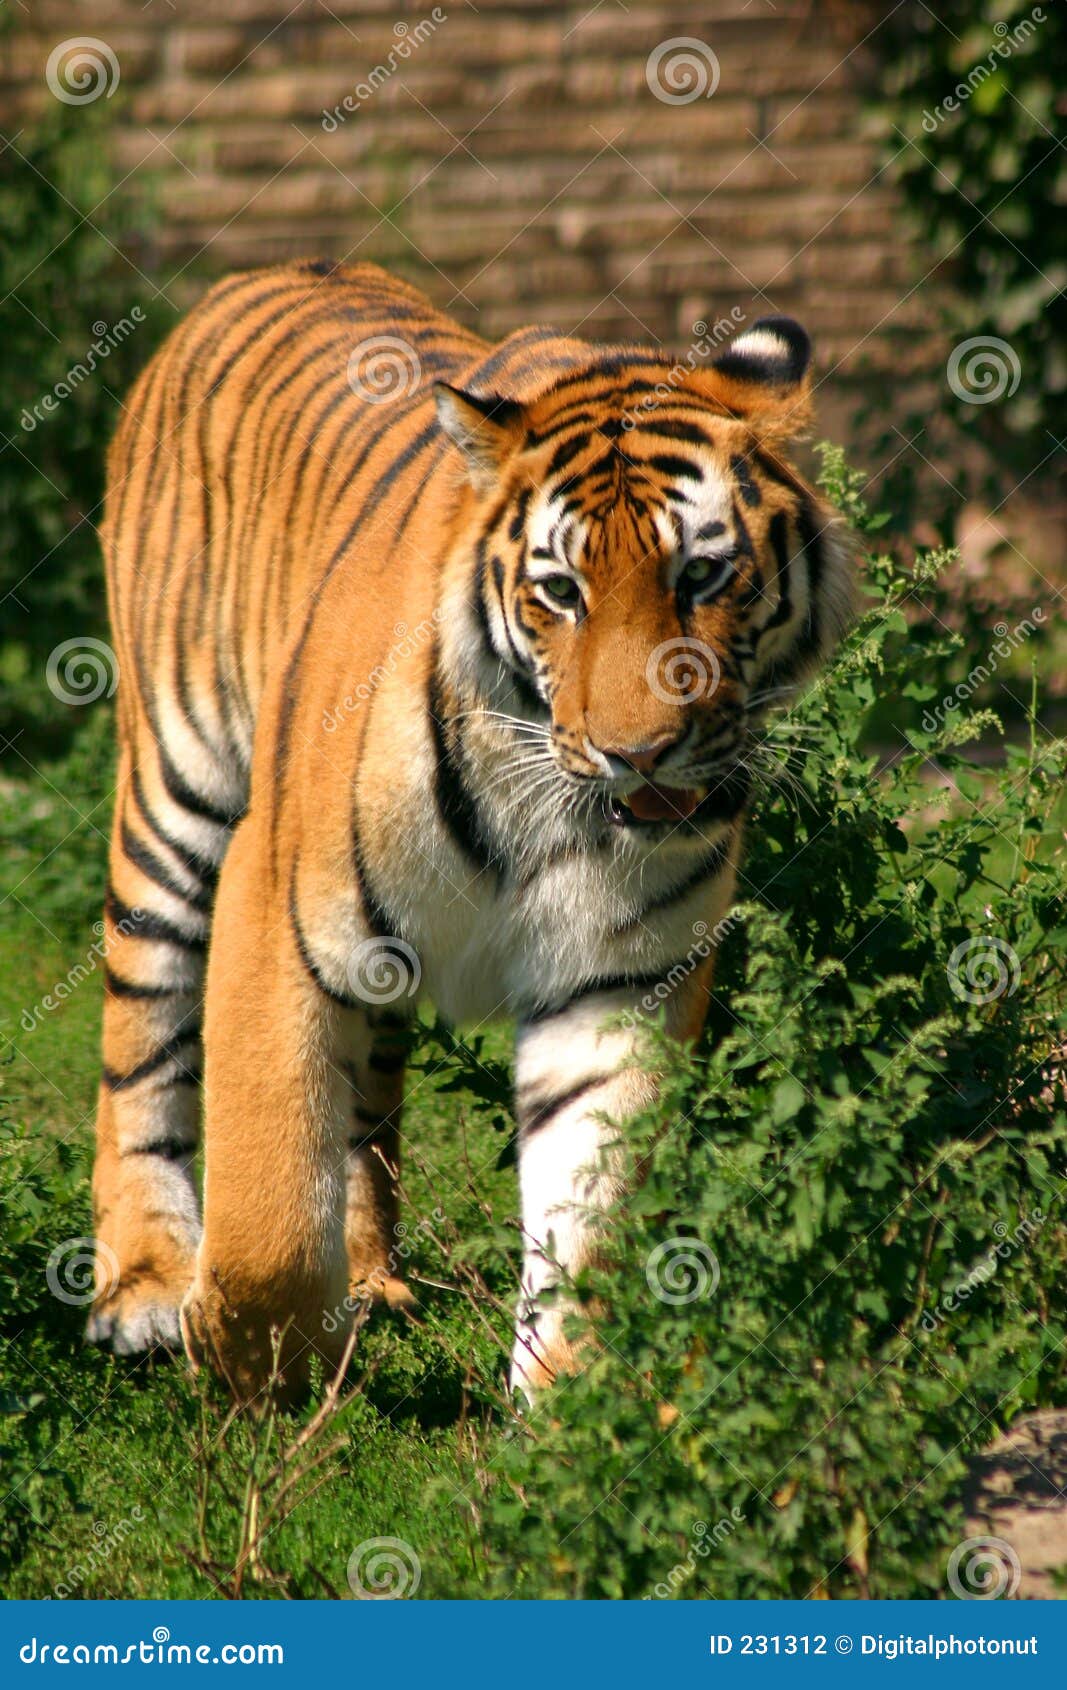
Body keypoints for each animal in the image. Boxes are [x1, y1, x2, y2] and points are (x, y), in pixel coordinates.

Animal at [88, 259, 855, 1402]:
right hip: (174, 789)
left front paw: (575, 1410)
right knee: (140, 1031)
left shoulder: (616, 982)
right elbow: (269, 1202)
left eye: (701, 576)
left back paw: (371, 1278)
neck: (538, 795)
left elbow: (593, 1213)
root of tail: (264, 269)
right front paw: (245, 1364)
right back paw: (140, 1287)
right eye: (561, 592)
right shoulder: (276, 913)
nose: (637, 754)